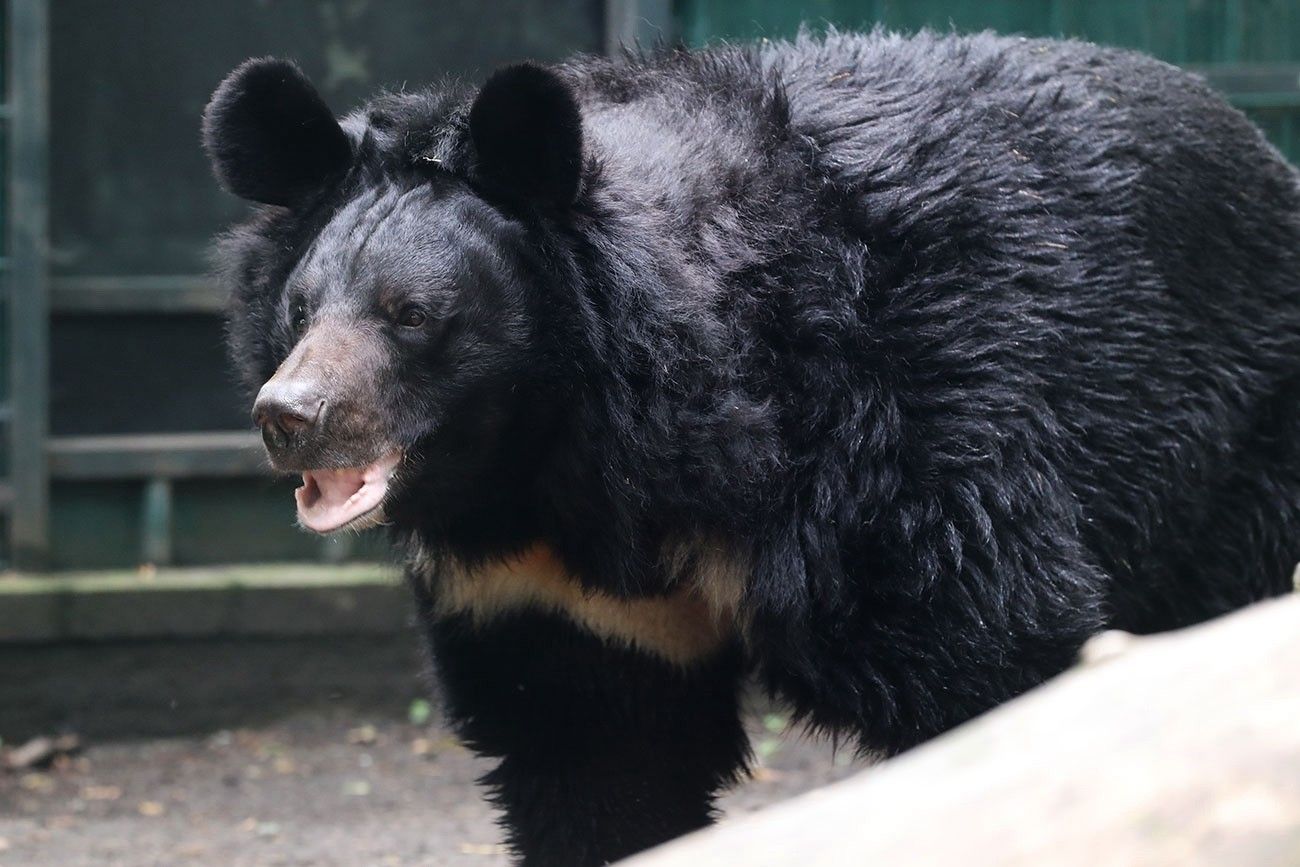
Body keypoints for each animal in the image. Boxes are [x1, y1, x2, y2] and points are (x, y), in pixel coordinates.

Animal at [203, 30, 1300, 866]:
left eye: (412, 314)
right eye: (301, 308)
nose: (290, 414)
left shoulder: (910, 442)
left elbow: (989, 664)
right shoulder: (563, 597)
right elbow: (594, 759)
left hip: (1235, 457)